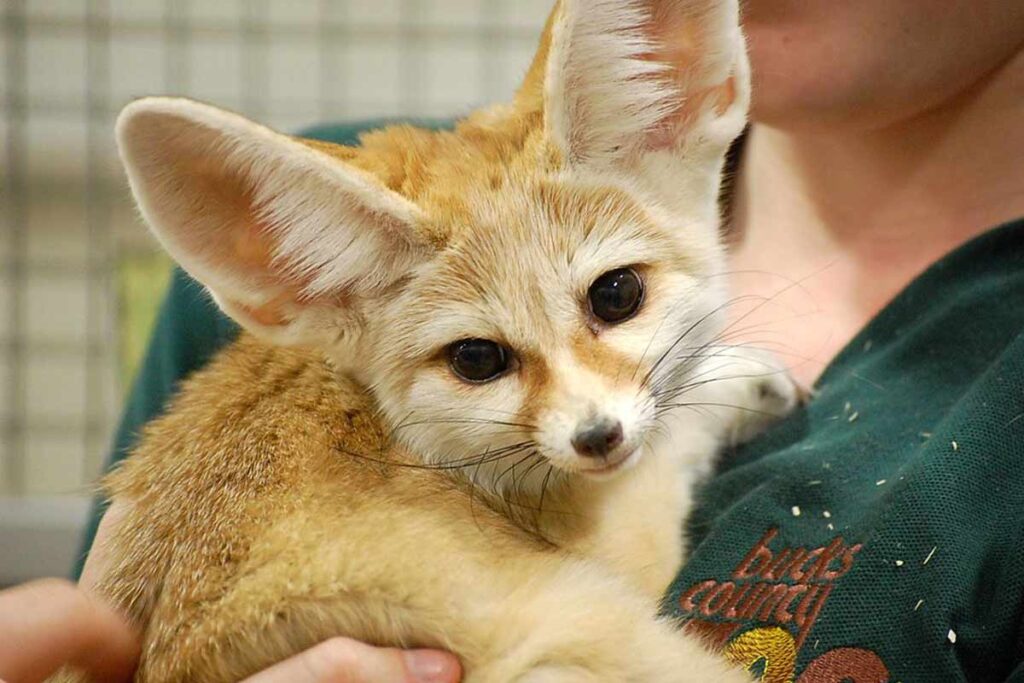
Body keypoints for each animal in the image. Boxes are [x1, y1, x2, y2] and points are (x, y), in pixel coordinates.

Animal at [67, 0, 798, 681]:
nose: (597, 437)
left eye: (617, 295)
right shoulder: (612, 562)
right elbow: (671, 442)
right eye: (476, 359)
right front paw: (732, 382)